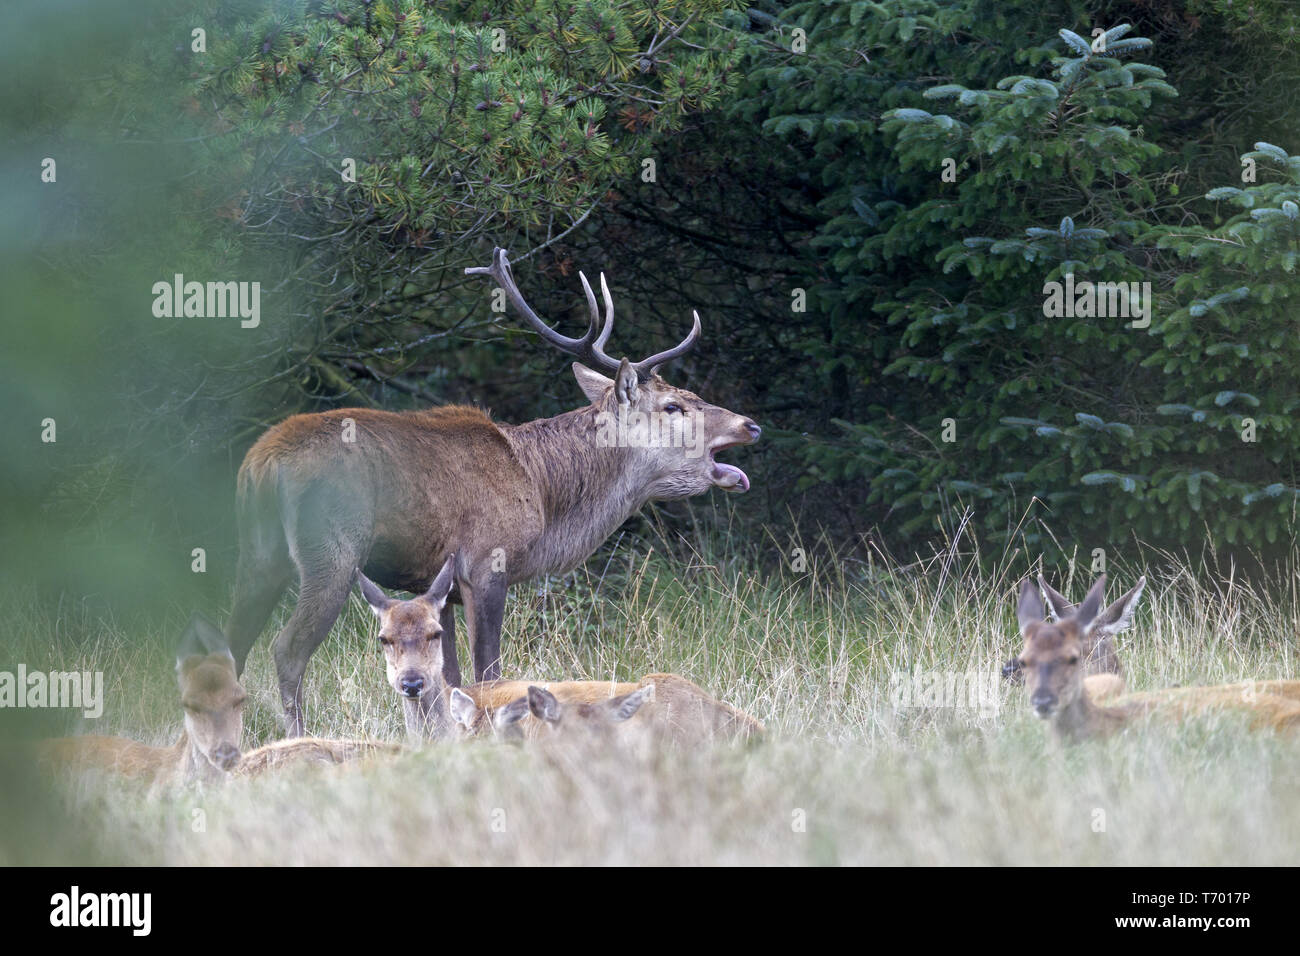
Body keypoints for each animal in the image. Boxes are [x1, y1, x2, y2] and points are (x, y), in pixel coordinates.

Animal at [227, 247, 761, 738]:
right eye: (673, 405)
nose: (750, 423)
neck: (543, 495)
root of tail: (263, 462)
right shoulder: (487, 562)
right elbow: (490, 670)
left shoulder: (441, 590)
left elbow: (451, 674)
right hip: (330, 552)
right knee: (285, 649)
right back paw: (297, 736)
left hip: (258, 554)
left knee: (231, 643)